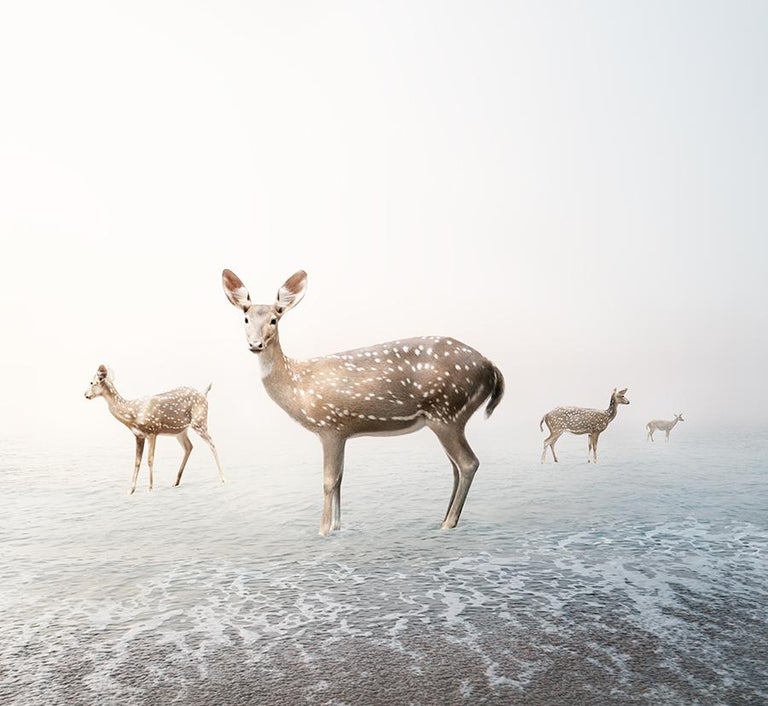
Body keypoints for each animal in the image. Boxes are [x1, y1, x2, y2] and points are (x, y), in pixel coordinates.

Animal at [84, 364, 225, 493]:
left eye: (91, 382)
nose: (85, 395)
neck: (133, 413)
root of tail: (204, 394)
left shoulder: (152, 431)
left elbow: (150, 459)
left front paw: (150, 488)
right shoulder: (139, 435)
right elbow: (137, 461)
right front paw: (131, 490)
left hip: (200, 422)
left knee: (212, 444)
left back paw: (223, 479)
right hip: (181, 431)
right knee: (189, 447)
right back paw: (176, 482)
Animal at [222, 269, 505, 535]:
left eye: (274, 319)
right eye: (245, 318)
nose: (255, 344)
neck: (298, 385)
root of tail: (491, 367)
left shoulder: (330, 426)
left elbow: (328, 480)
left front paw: (323, 530)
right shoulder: (342, 431)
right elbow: (340, 478)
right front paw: (337, 527)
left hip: (446, 411)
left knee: (468, 463)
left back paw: (448, 523)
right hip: (448, 418)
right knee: (456, 466)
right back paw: (444, 518)